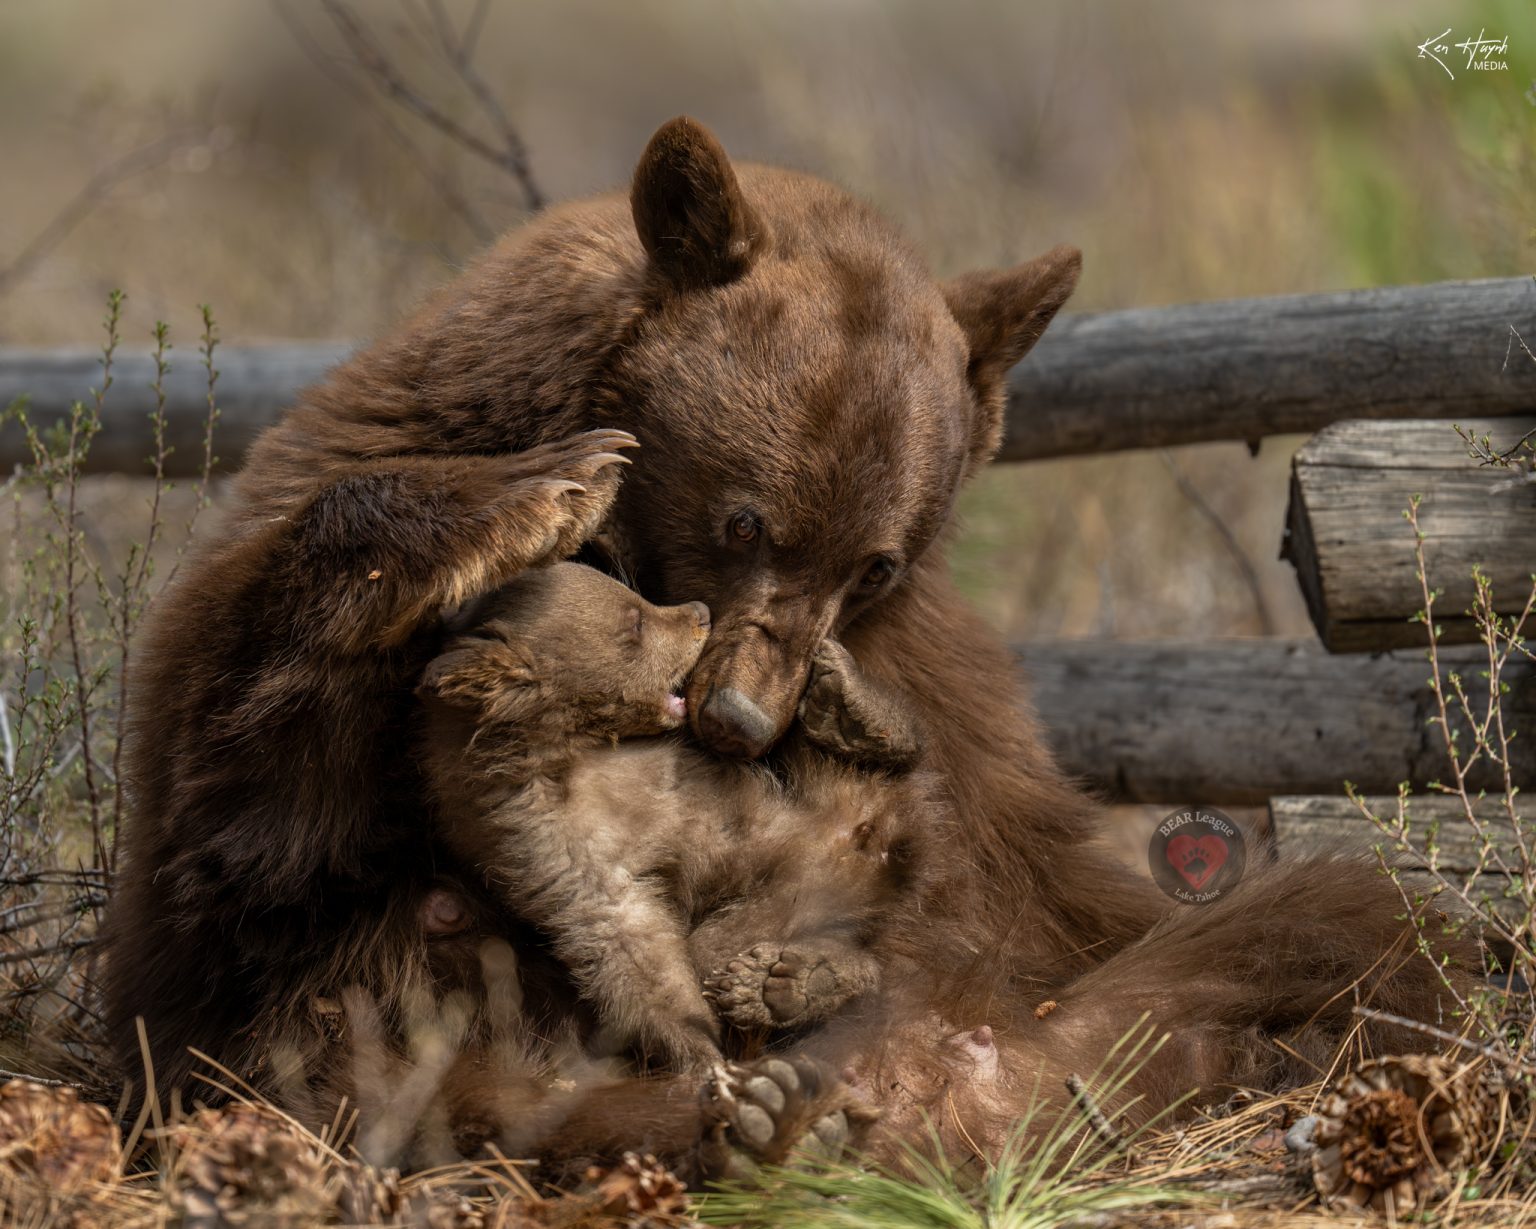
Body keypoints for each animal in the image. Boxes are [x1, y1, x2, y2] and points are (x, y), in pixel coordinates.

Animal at [416, 560, 944, 1074]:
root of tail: (883, 862)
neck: (567, 754)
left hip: (822, 785)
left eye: (635, 596)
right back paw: (784, 983)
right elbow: (628, 941)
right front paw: (700, 1049)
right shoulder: (546, 846)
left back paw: (852, 707)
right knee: (801, 957)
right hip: (785, 908)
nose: (701, 612)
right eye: (634, 623)